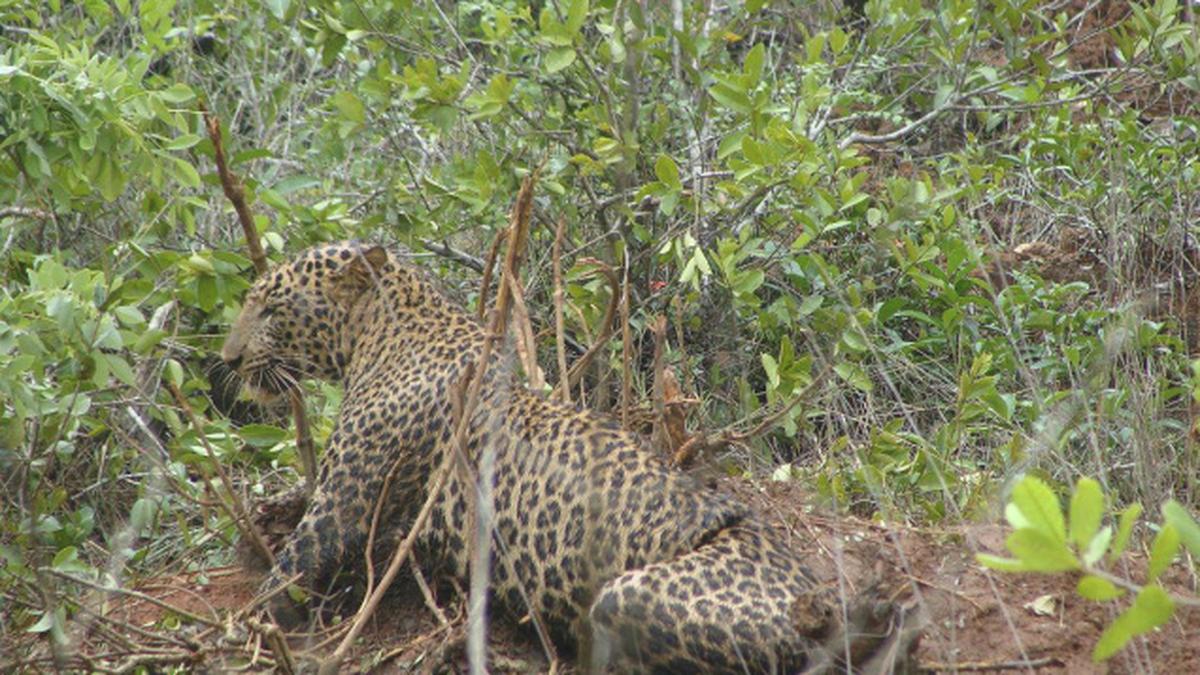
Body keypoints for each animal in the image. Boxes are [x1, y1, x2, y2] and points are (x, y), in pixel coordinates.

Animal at [221, 241, 904, 673]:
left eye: (272, 308)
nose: (227, 359)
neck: (384, 333)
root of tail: (828, 607)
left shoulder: (345, 503)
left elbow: (283, 576)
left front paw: (246, 627)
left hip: (626, 595)